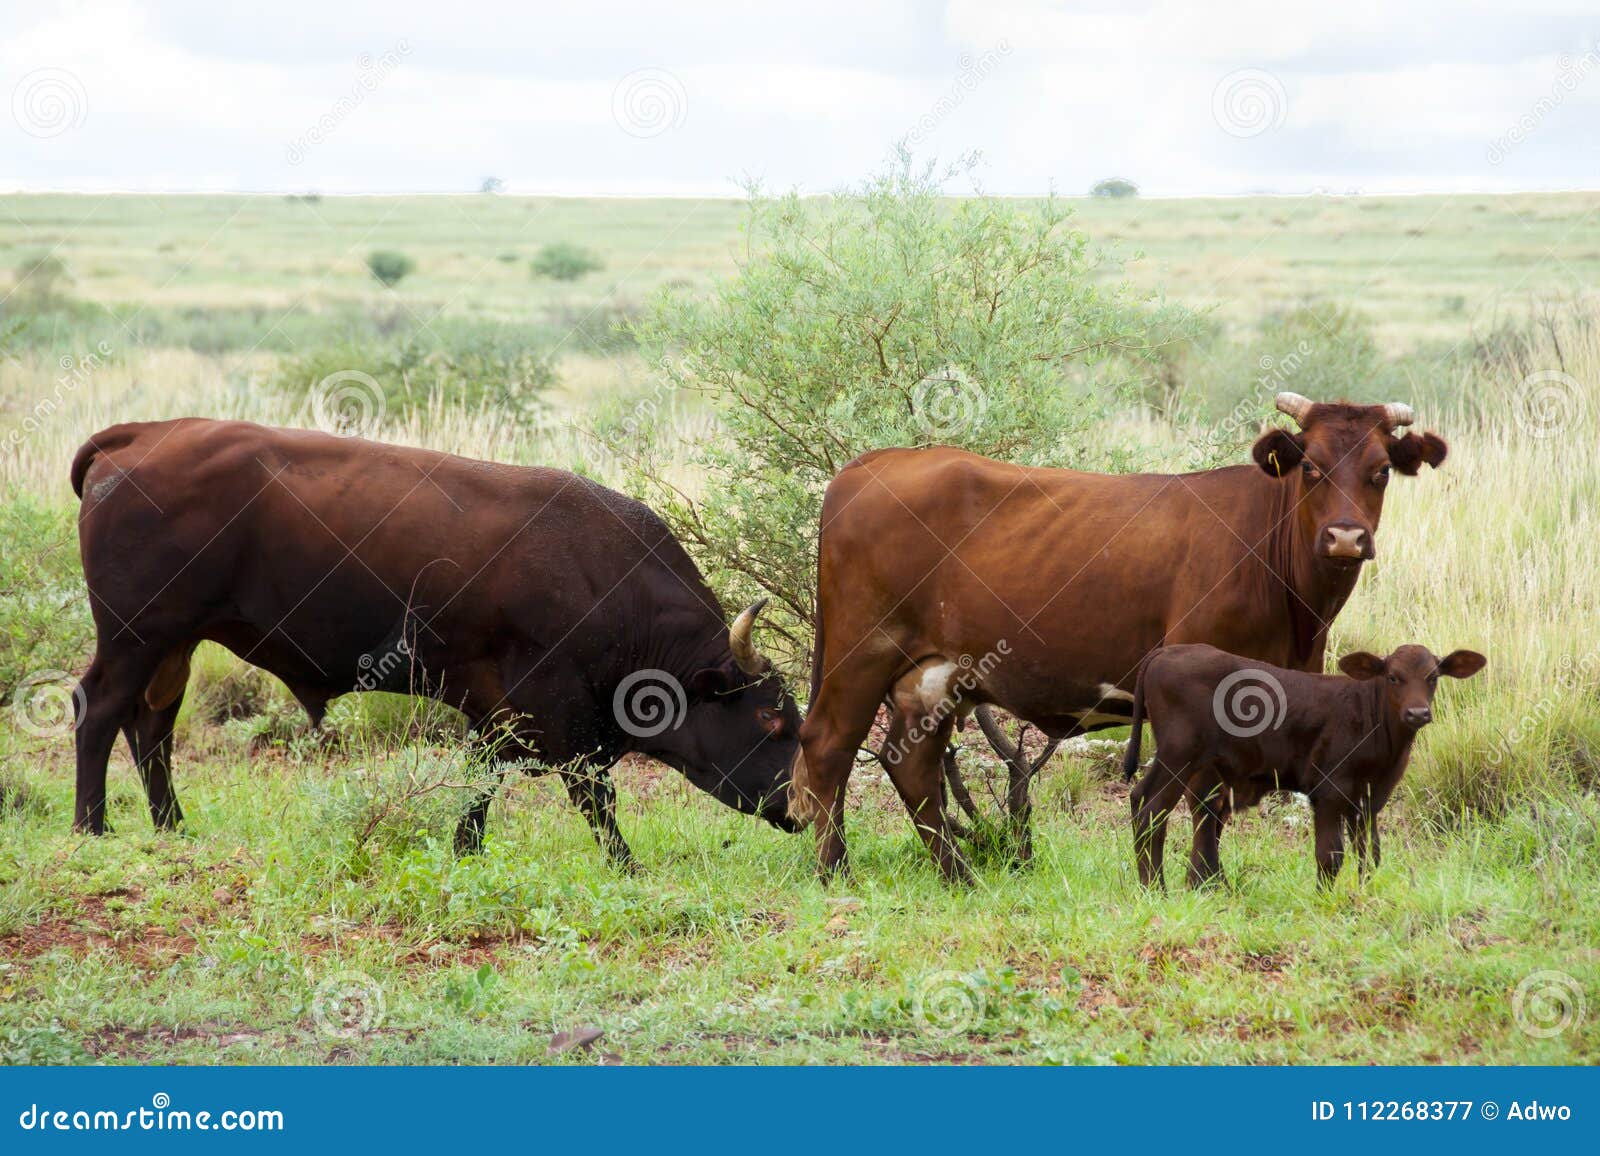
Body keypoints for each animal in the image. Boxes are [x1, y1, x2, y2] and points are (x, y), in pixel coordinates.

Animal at [67, 418, 800, 864]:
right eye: (770, 718)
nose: (805, 803)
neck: (603, 575)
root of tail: (139, 436)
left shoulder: (495, 712)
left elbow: (481, 784)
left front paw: (465, 850)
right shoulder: (559, 713)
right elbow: (594, 794)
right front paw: (627, 866)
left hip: (172, 647)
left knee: (153, 726)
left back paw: (172, 825)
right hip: (134, 639)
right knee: (98, 712)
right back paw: (91, 826)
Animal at [791, 393, 1448, 882]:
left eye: (1381, 471)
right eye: (1311, 466)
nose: (1345, 537)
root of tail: (875, 463)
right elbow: (1206, 797)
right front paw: (1204, 882)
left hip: (934, 674)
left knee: (913, 766)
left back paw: (958, 877)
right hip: (861, 651)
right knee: (828, 748)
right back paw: (836, 872)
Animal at [1121, 642, 1486, 888]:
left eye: (1433, 677)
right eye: (1393, 677)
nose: (1418, 713)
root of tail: (1169, 652)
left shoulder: (1371, 798)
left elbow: (1370, 852)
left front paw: (1365, 895)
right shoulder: (1330, 790)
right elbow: (1330, 854)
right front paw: (1325, 901)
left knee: (1145, 800)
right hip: (1179, 754)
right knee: (1153, 809)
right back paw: (1156, 890)